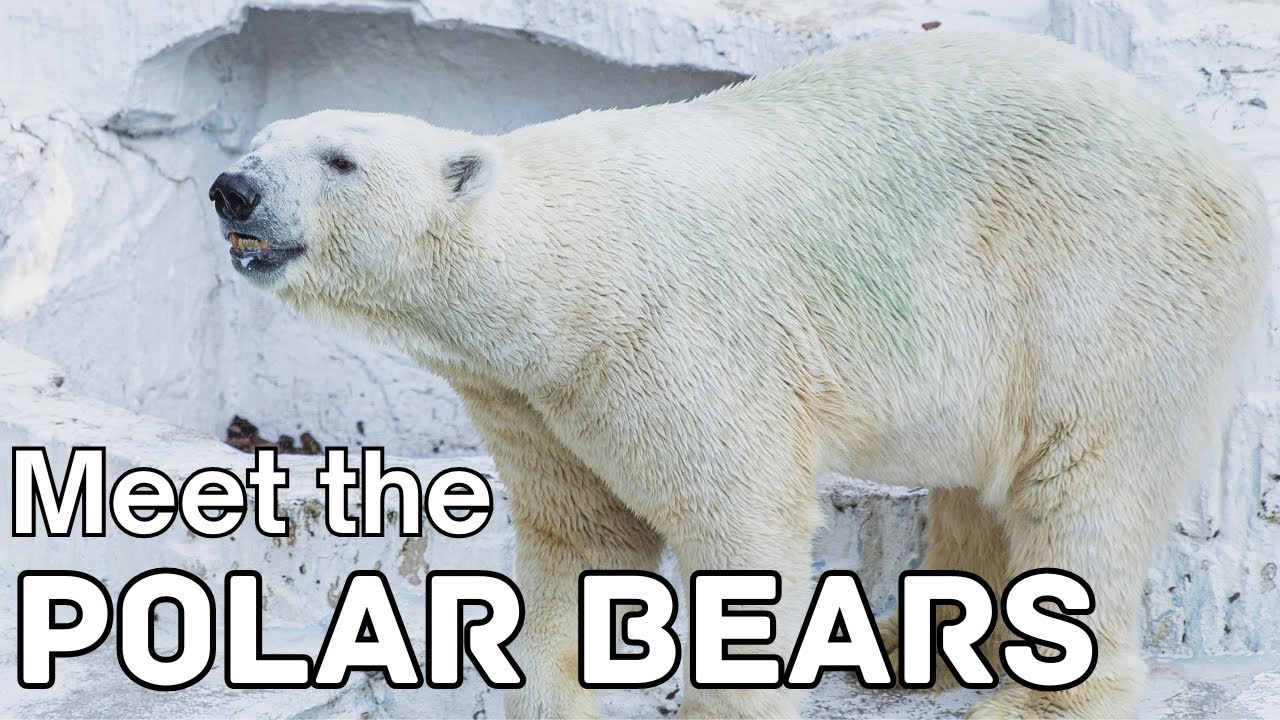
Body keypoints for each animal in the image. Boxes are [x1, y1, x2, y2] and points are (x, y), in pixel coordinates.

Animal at [209, 30, 1269, 719]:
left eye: (339, 160)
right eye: (257, 145)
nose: (232, 187)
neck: (577, 269)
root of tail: (1225, 163)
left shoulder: (671, 340)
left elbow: (735, 521)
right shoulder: (535, 398)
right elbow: (581, 538)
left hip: (1103, 282)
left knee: (1087, 480)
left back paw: (1029, 696)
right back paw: (908, 646)